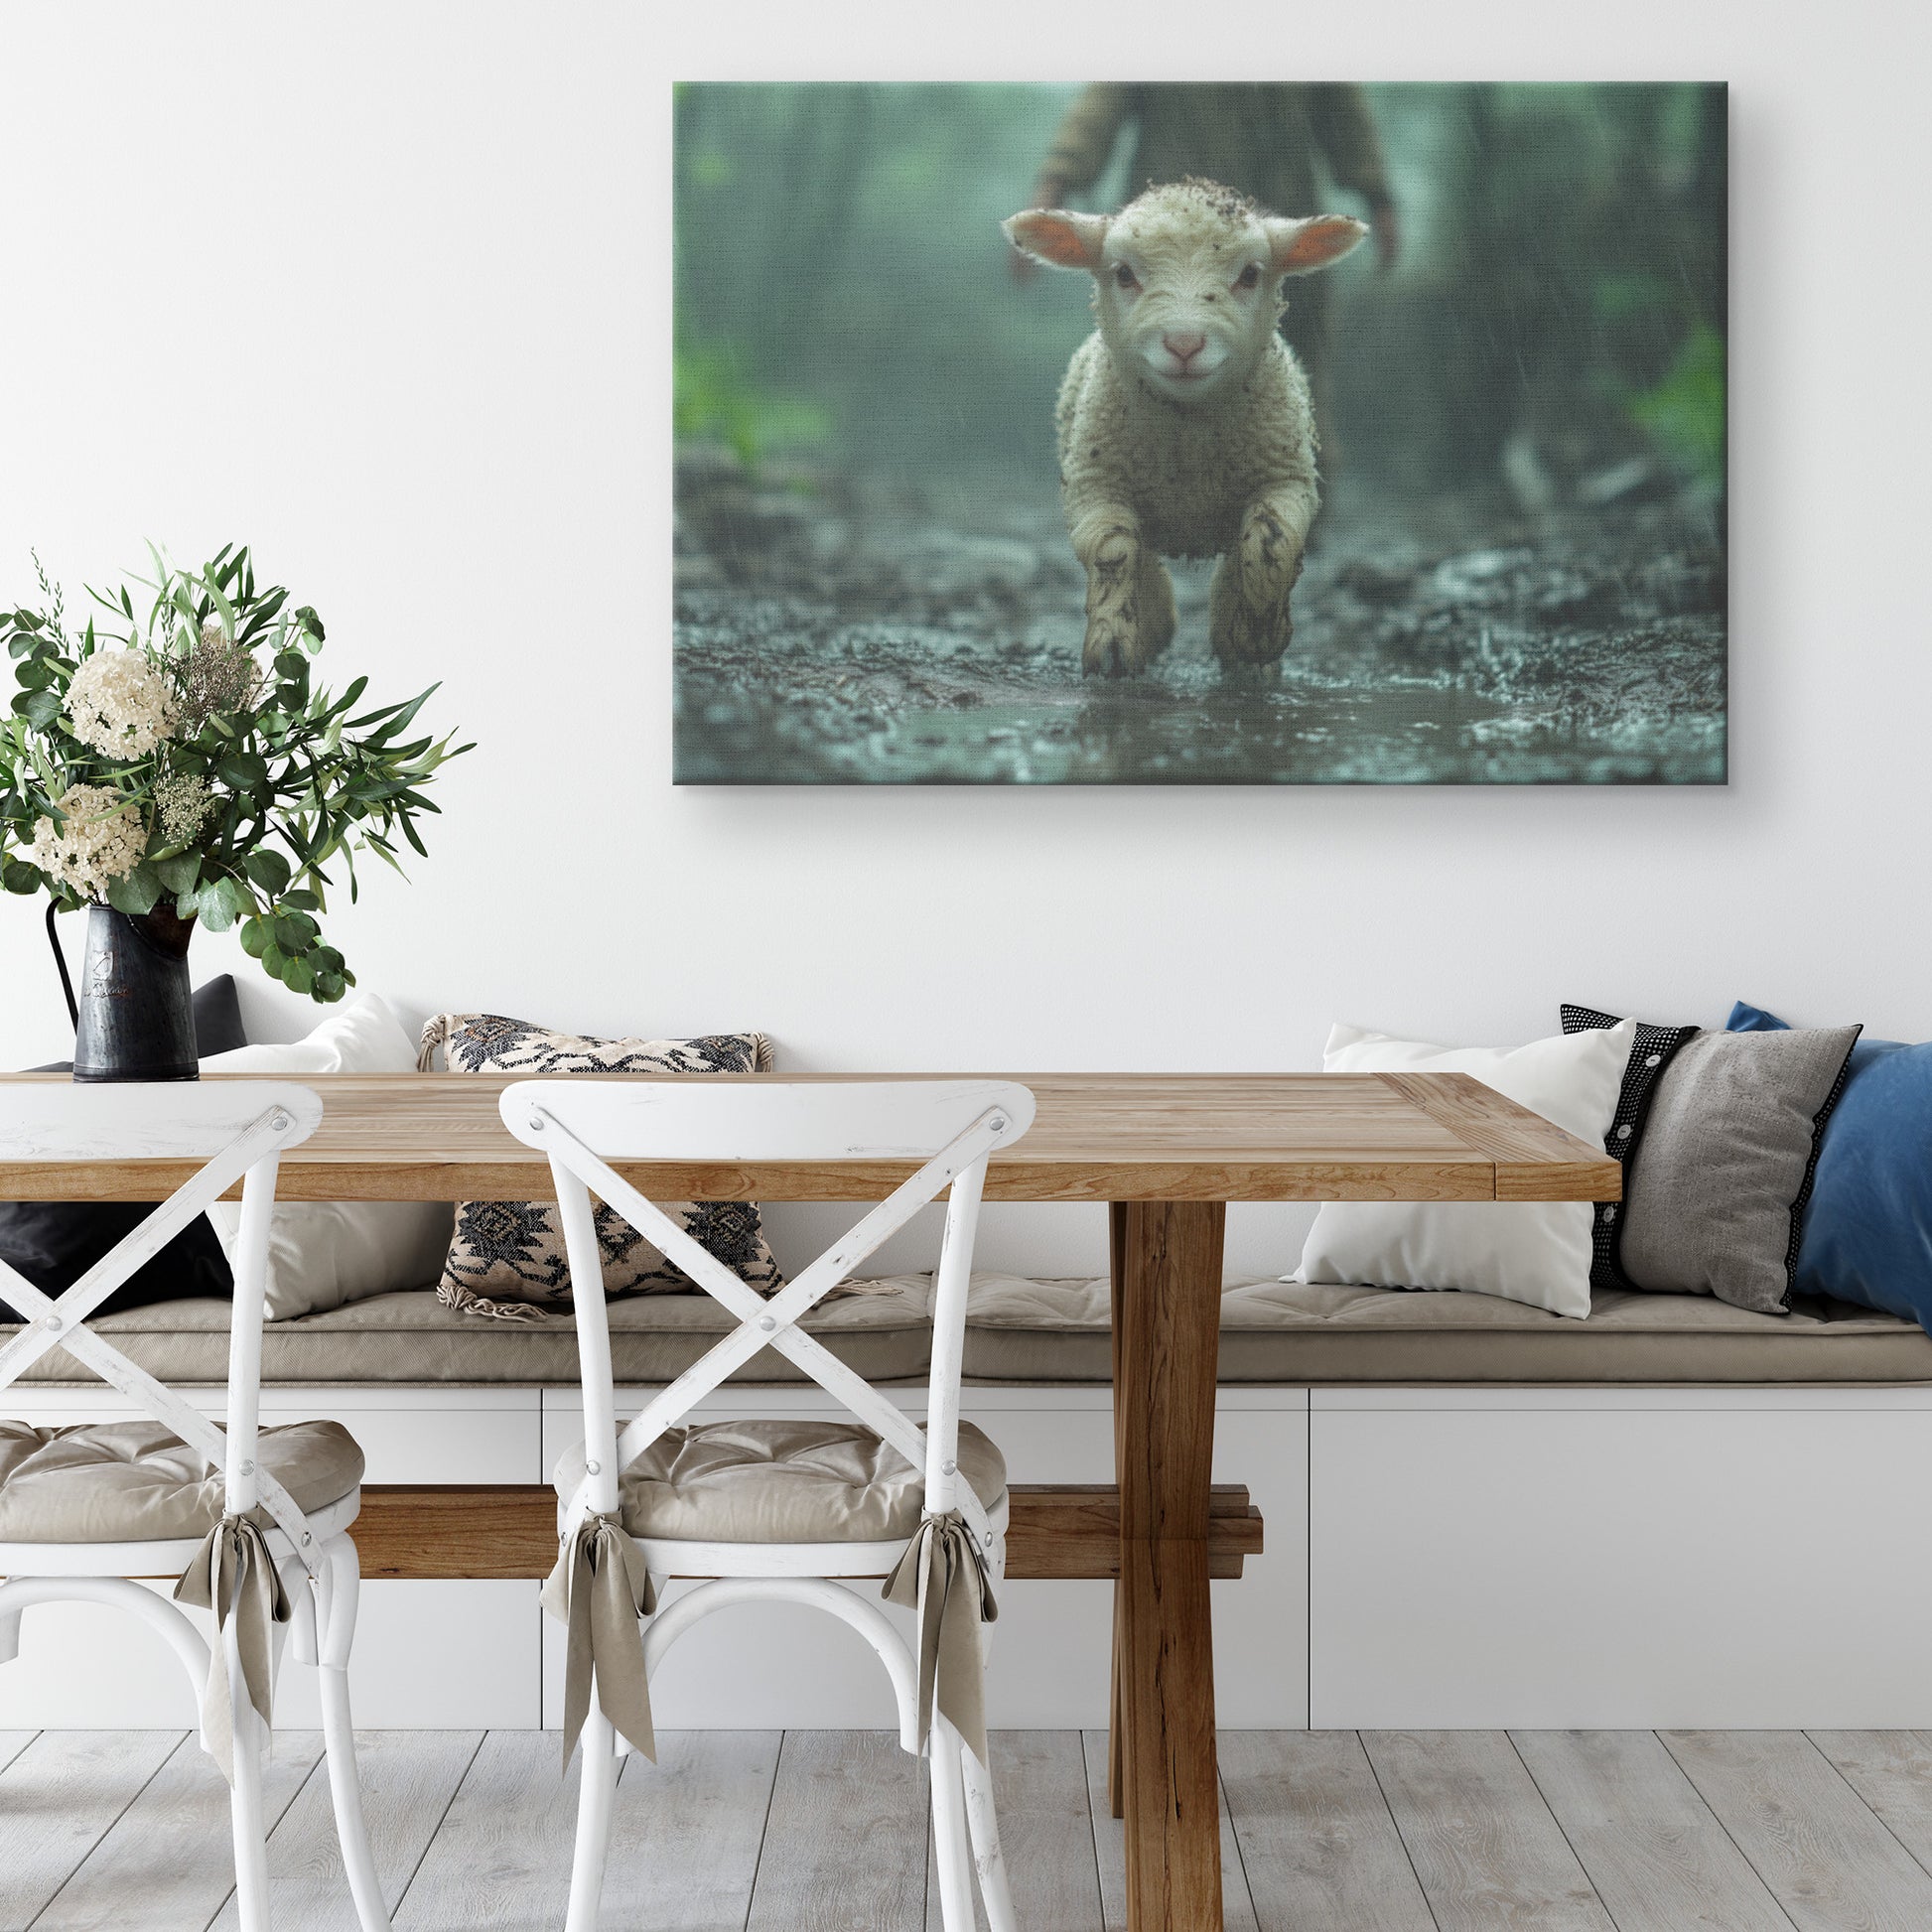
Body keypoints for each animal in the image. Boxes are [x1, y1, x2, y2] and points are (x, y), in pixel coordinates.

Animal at [1004, 178, 1367, 679]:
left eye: (1250, 274)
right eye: (1123, 274)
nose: (1184, 343)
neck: (1188, 433)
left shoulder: (1287, 479)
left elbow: (1271, 543)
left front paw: (1257, 636)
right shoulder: (1094, 486)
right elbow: (1113, 550)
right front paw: (1113, 645)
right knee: (1143, 558)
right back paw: (1156, 631)